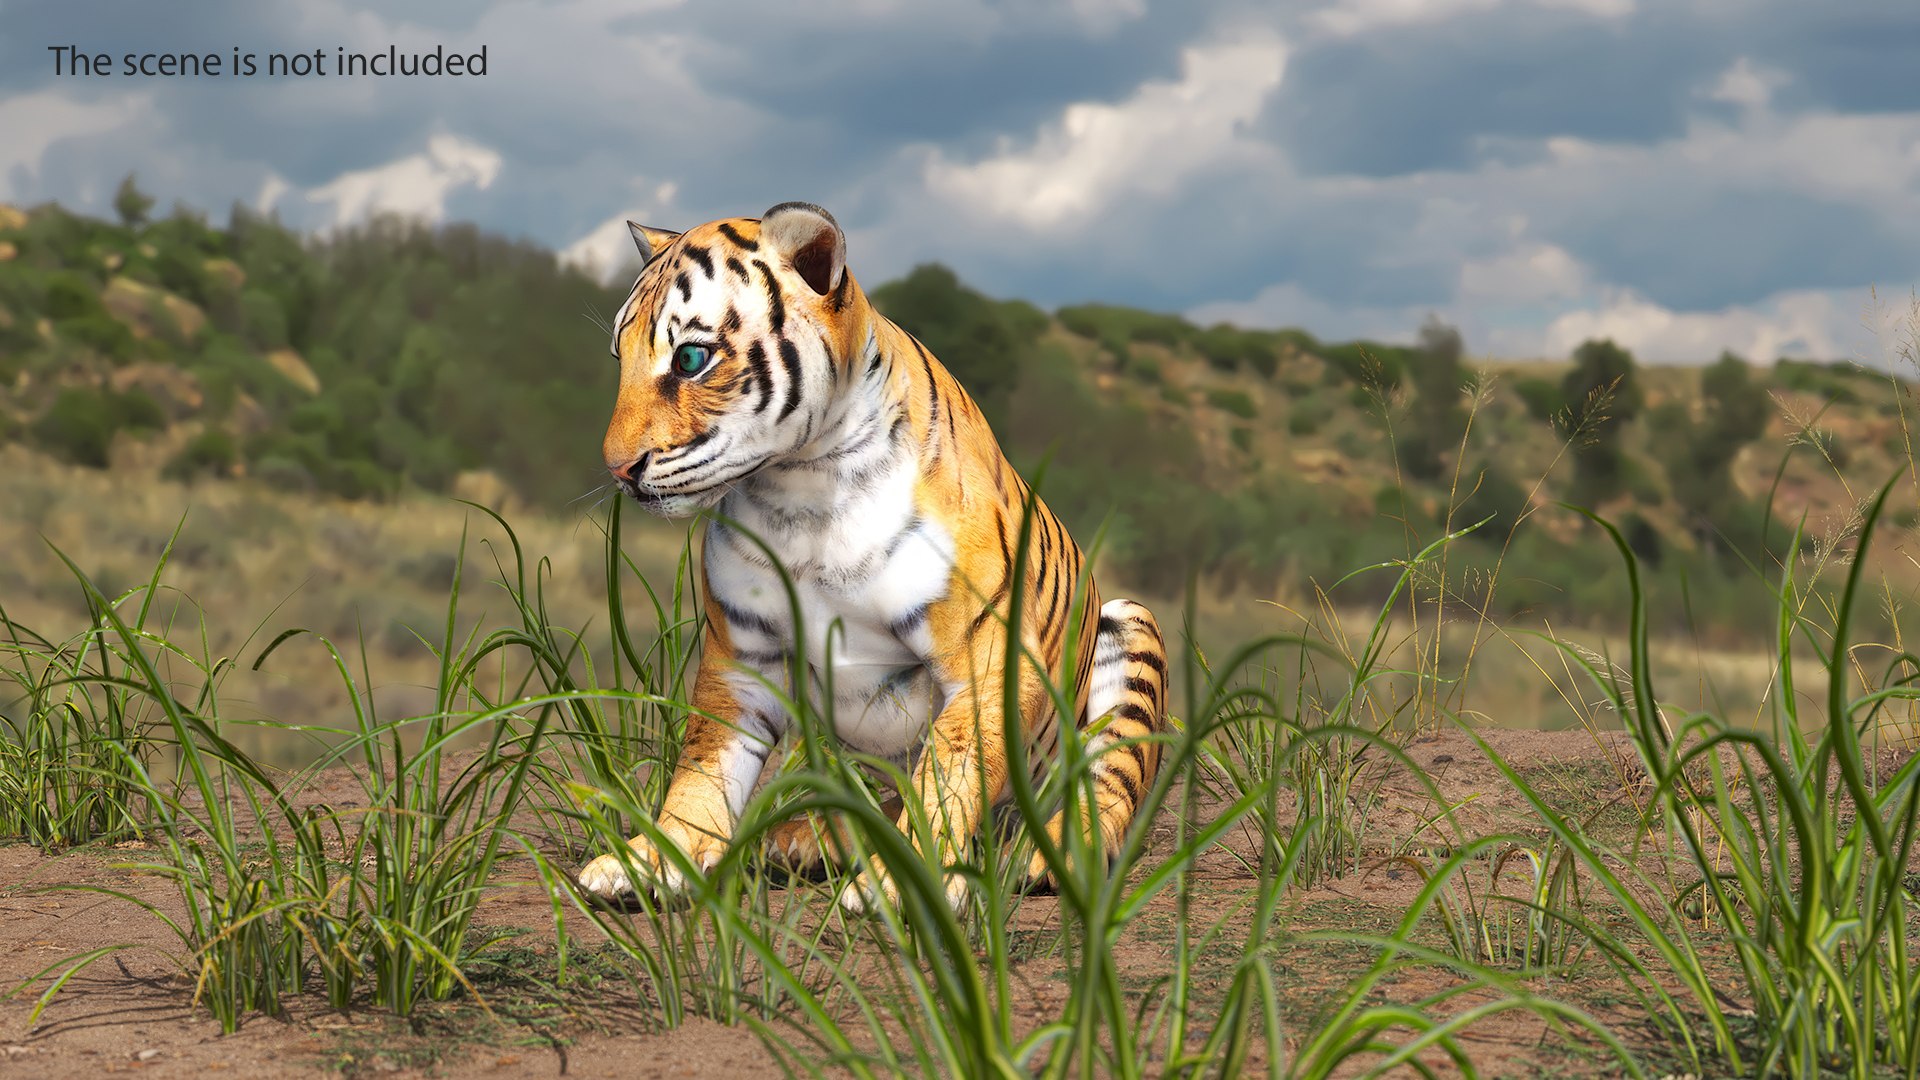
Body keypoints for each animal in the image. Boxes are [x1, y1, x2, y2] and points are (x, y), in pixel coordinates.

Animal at [574, 202, 1168, 913]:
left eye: (691, 358)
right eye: (620, 356)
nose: (617, 469)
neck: (801, 489)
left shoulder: (987, 662)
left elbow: (948, 776)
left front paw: (904, 880)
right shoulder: (741, 658)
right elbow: (703, 768)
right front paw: (652, 862)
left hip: (1129, 625)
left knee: (1106, 788)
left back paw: (1048, 855)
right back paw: (803, 842)